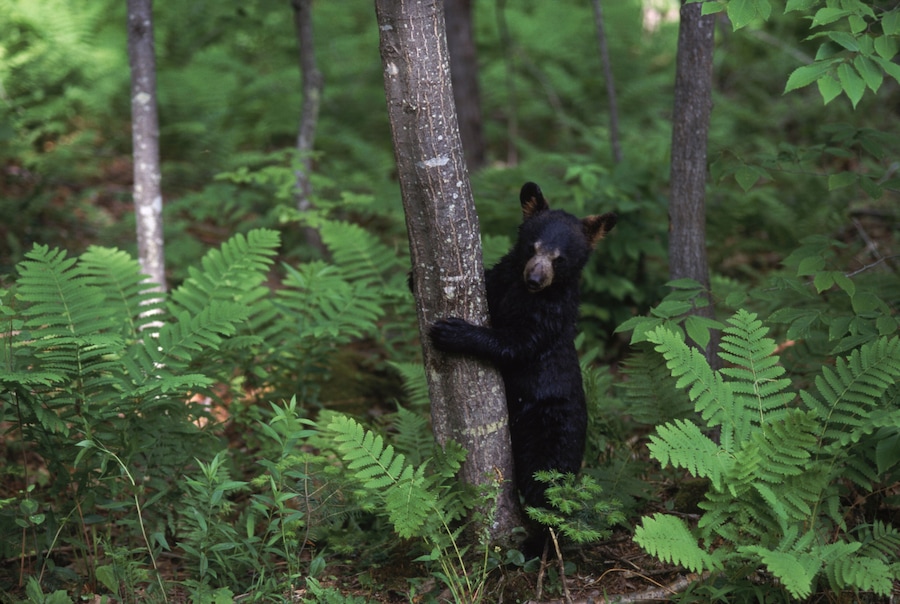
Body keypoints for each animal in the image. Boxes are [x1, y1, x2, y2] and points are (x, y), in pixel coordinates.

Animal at [429, 181, 616, 547]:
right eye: (533, 246)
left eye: (560, 258)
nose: (535, 278)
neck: (526, 294)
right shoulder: (503, 280)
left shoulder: (549, 317)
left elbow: (516, 344)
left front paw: (453, 331)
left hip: (550, 432)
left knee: (546, 487)